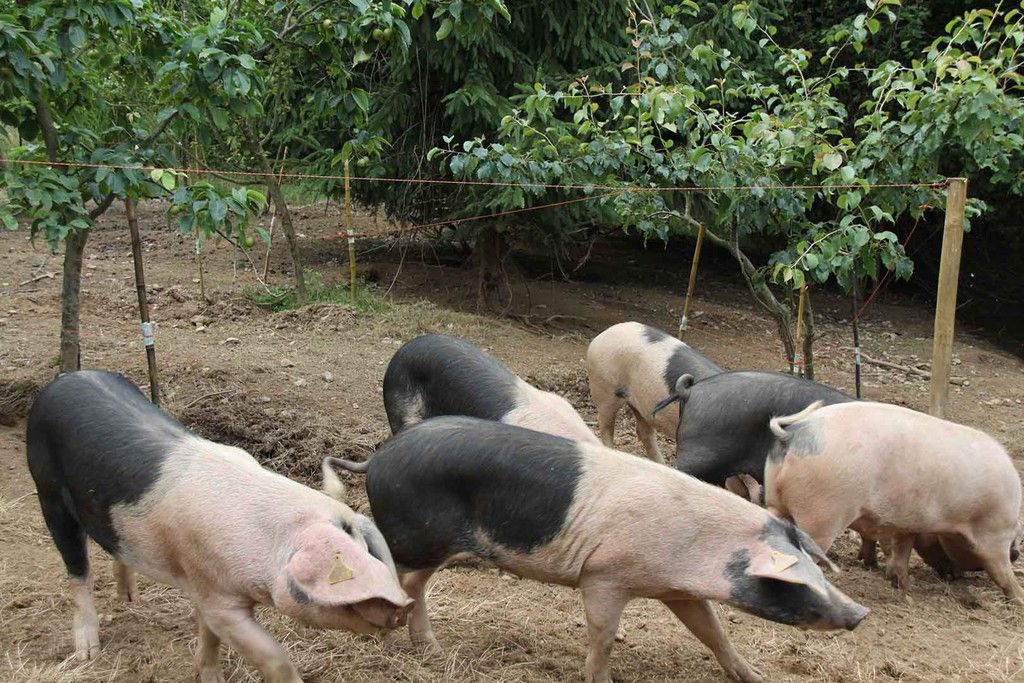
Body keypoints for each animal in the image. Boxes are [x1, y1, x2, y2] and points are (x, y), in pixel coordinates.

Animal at [27, 371, 411, 682]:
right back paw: (87, 651)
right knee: (77, 570)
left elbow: (208, 635)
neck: (268, 547)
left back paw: (130, 599)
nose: (403, 609)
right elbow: (273, 657)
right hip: (48, 492)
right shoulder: (221, 601)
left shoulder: (202, 583)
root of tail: (64, 380)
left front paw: (208, 674)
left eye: (370, 553)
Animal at [323, 416, 869, 683]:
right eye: (791, 581)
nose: (860, 613)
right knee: (401, 580)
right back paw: (414, 644)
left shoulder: (678, 590)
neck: (696, 545)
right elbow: (603, 636)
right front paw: (602, 678)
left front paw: (753, 676)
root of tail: (376, 458)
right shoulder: (606, 576)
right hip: (420, 537)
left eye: (817, 570)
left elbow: (713, 632)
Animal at [765, 401, 1024, 603]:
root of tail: (792, 434)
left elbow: (901, 554)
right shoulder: (993, 532)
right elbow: (1001, 570)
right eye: (1015, 541)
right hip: (823, 514)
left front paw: (905, 589)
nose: (1015, 552)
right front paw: (1019, 599)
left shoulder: (906, 525)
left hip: (775, 504)